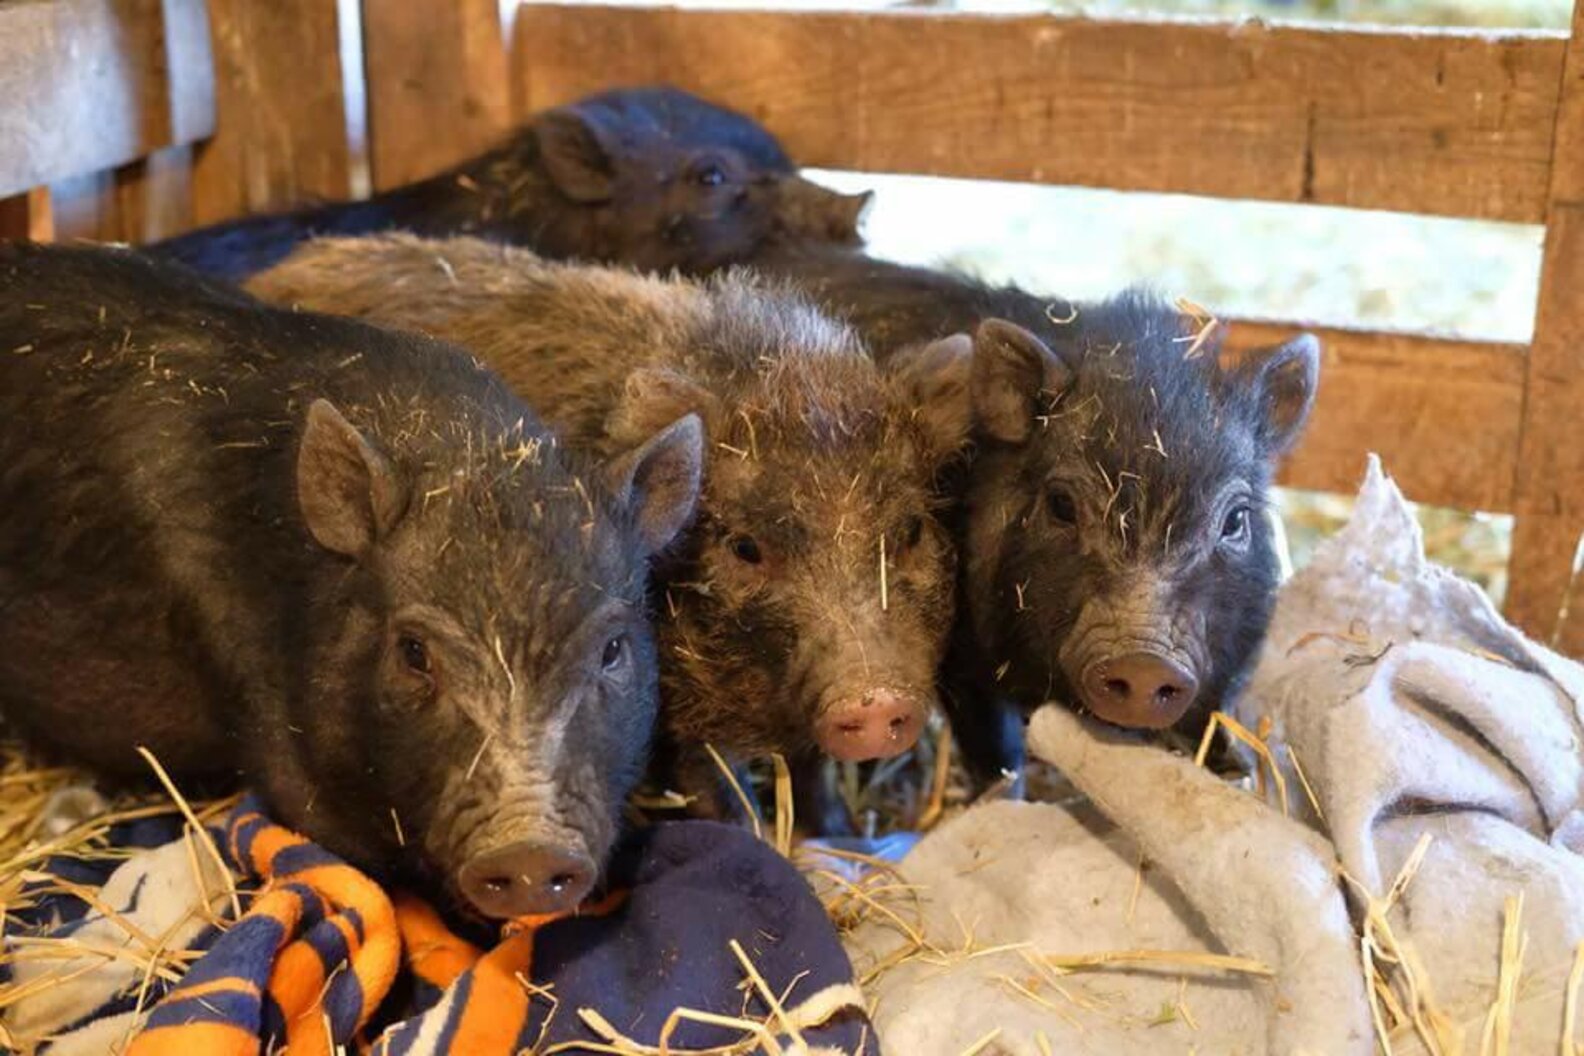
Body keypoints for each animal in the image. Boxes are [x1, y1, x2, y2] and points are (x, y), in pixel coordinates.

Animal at [248, 234, 973, 831]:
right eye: (746, 547)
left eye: (911, 529)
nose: (876, 703)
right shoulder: (668, 711)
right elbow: (714, 790)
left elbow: (815, 773)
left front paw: (841, 837)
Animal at [754, 245, 1319, 786]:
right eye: (1061, 505)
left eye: (1236, 520)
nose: (1143, 662)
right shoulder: (964, 658)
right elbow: (999, 750)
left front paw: (1235, 767)